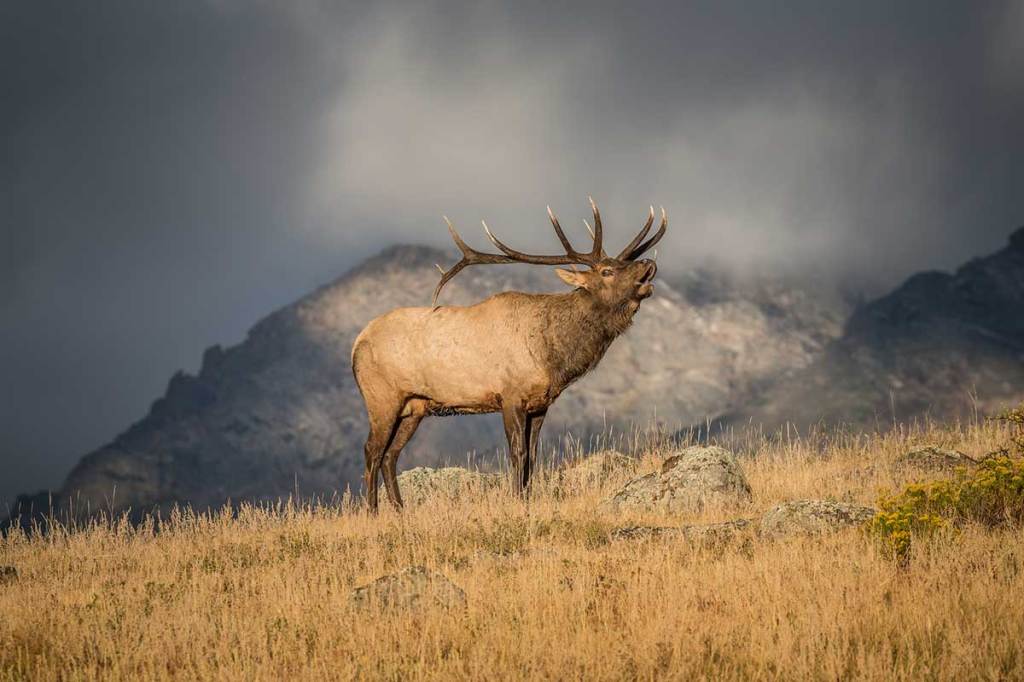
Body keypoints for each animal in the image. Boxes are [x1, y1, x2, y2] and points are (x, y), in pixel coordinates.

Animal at [351, 199, 666, 511]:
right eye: (606, 271)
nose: (648, 263)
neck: (552, 357)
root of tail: (356, 344)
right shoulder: (511, 396)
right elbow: (518, 454)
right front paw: (516, 501)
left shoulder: (540, 405)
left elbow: (533, 457)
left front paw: (527, 500)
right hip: (381, 398)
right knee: (372, 451)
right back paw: (373, 512)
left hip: (414, 406)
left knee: (390, 455)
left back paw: (399, 510)